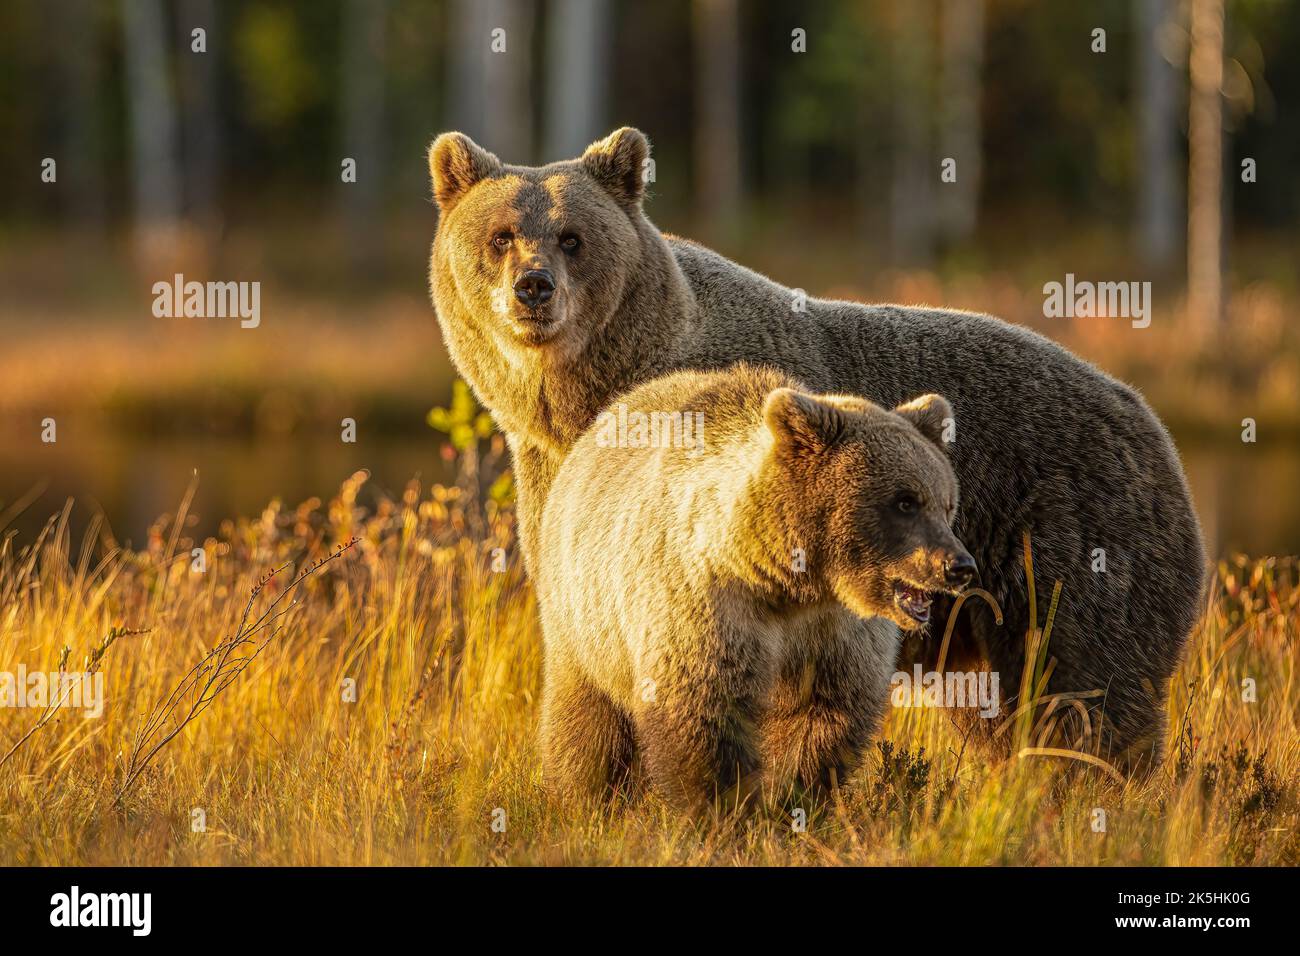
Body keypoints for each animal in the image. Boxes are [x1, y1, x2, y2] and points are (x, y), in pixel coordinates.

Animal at [537, 362, 975, 809]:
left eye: (946, 504)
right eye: (905, 501)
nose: (958, 566)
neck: (792, 584)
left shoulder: (837, 632)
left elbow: (825, 715)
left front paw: (793, 796)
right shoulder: (709, 606)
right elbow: (704, 712)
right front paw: (725, 806)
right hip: (584, 617)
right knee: (588, 718)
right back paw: (583, 794)